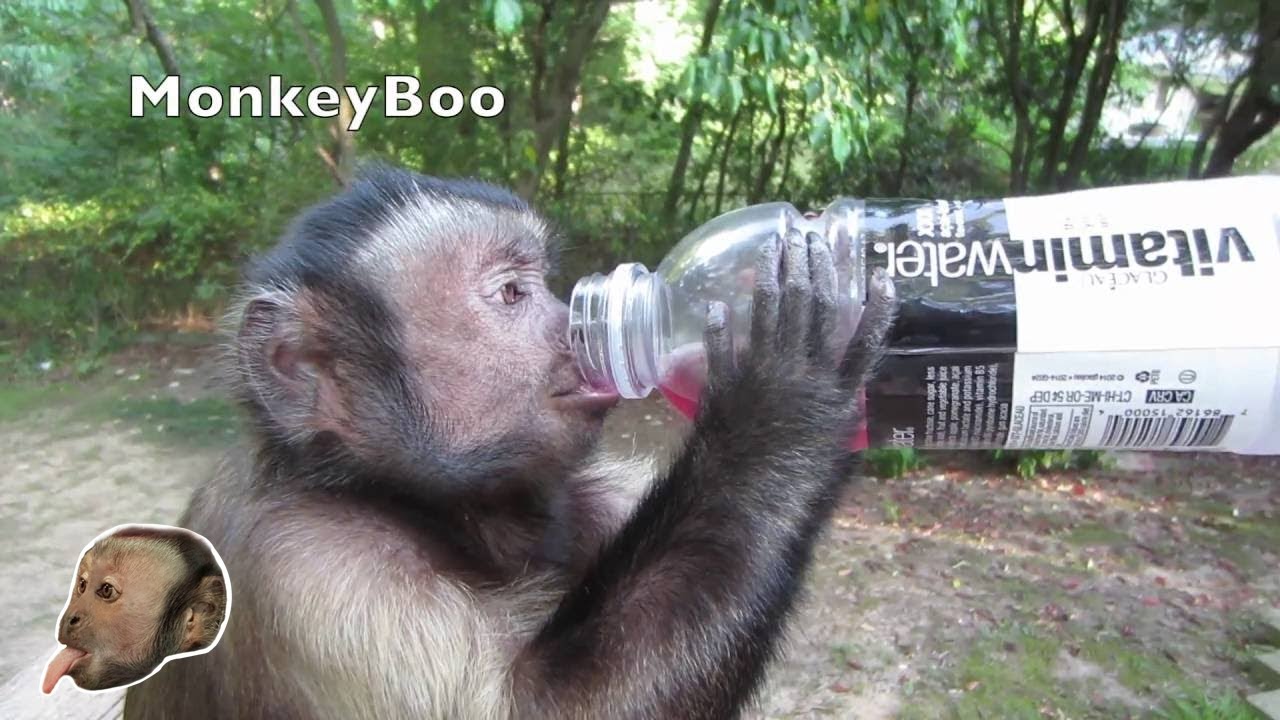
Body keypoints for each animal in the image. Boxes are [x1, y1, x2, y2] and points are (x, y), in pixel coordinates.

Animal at [123, 167, 897, 719]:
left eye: (543, 284)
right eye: (511, 293)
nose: (572, 322)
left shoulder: (598, 496)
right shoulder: (310, 564)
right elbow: (535, 706)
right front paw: (788, 395)